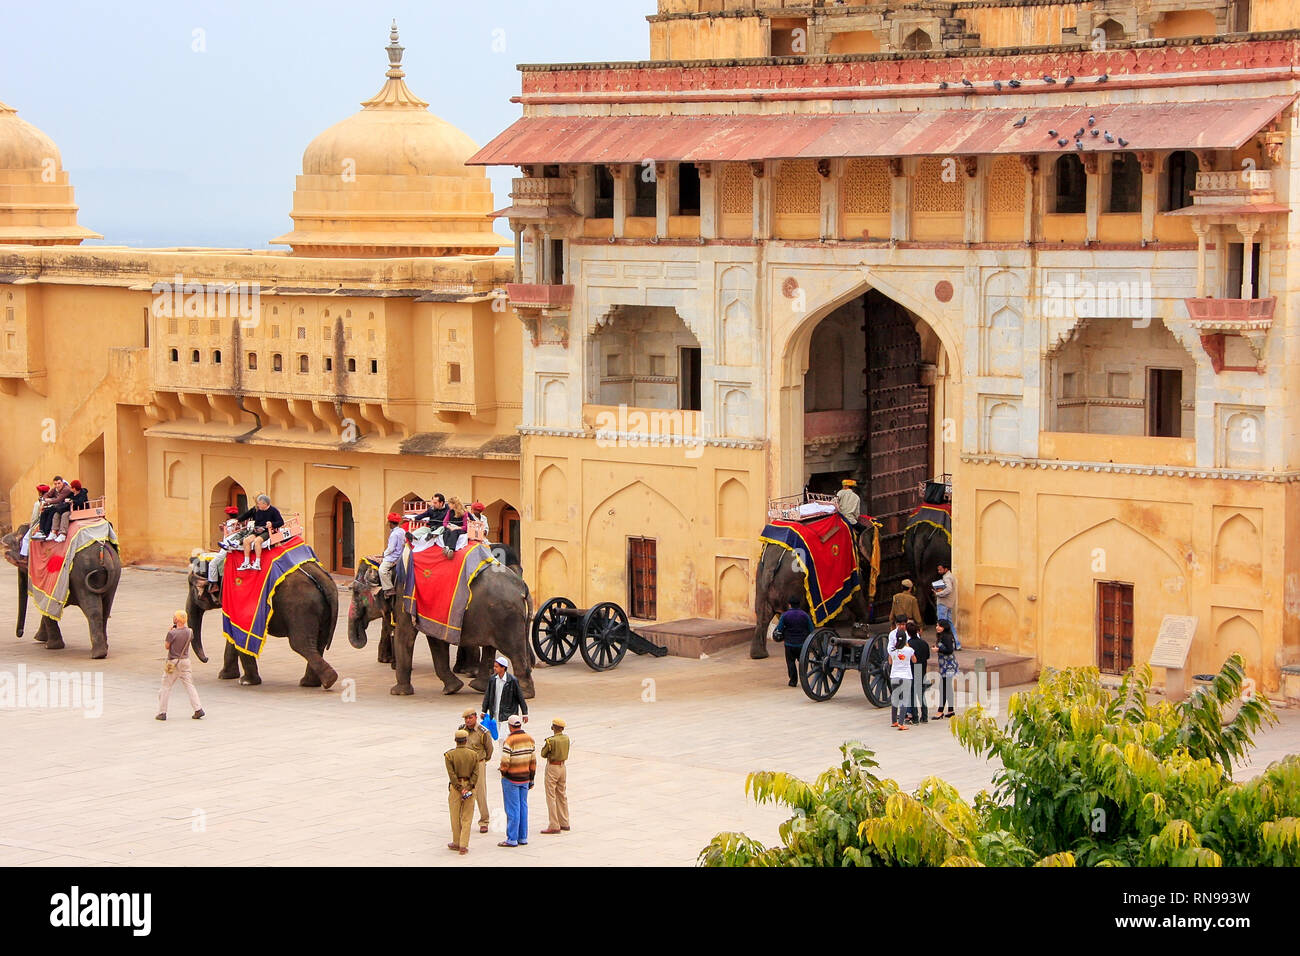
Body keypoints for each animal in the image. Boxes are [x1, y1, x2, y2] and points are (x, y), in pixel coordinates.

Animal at [1, 523, 121, 659]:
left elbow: (44, 604)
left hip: (82, 576)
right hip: (114, 576)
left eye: (18, 538)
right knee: (105, 610)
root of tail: (102, 551)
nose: (20, 633)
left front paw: (50, 646)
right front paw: (40, 639)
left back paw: (97, 654)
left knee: (93, 610)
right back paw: (103, 649)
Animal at [185, 560, 340, 689]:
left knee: (300, 644)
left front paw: (246, 682)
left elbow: (239, 635)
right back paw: (311, 683)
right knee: (318, 644)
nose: (206, 659)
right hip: (322, 611)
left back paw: (327, 680)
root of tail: (324, 581)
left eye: (191, 587)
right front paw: (225, 676)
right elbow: (233, 635)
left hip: (301, 610)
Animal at [347, 551, 535, 699]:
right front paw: (452, 688)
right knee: (491, 647)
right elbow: (435, 641)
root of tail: (522, 586)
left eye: (356, 592)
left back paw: (525, 694)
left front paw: (397, 692)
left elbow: (405, 636)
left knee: (513, 651)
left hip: (506, 617)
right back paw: (480, 686)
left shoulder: (405, 598)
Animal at [751, 521, 878, 659]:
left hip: (761, 577)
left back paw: (759, 655)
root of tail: (772, 562)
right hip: (793, 581)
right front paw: (861, 633)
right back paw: (813, 647)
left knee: (763, 614)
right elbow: (855, 593)